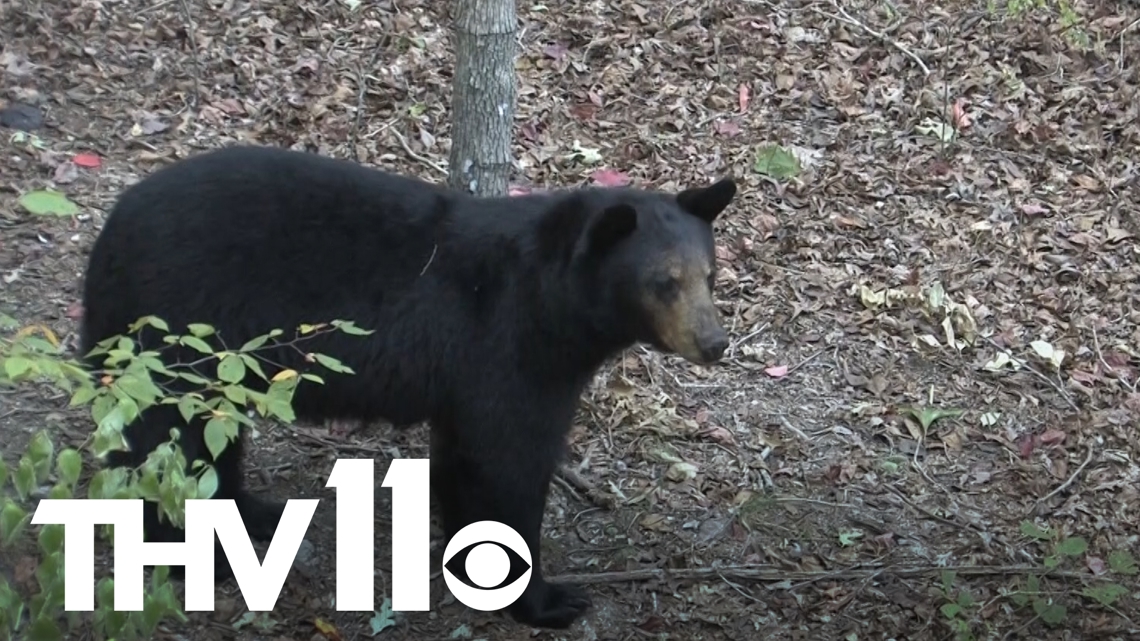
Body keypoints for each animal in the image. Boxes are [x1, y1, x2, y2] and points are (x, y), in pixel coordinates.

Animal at [78, 144, 736, 630]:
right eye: (663, 281)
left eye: (709, 274)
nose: (714, 342)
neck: (556, 305)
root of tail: (109, 233)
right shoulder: (509, 349)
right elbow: (508, 461)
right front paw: (547, 598)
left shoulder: (473, 373)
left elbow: (461, 456)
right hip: (174, 330)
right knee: (168, 440)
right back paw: (195, 555)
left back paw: (252, 515)